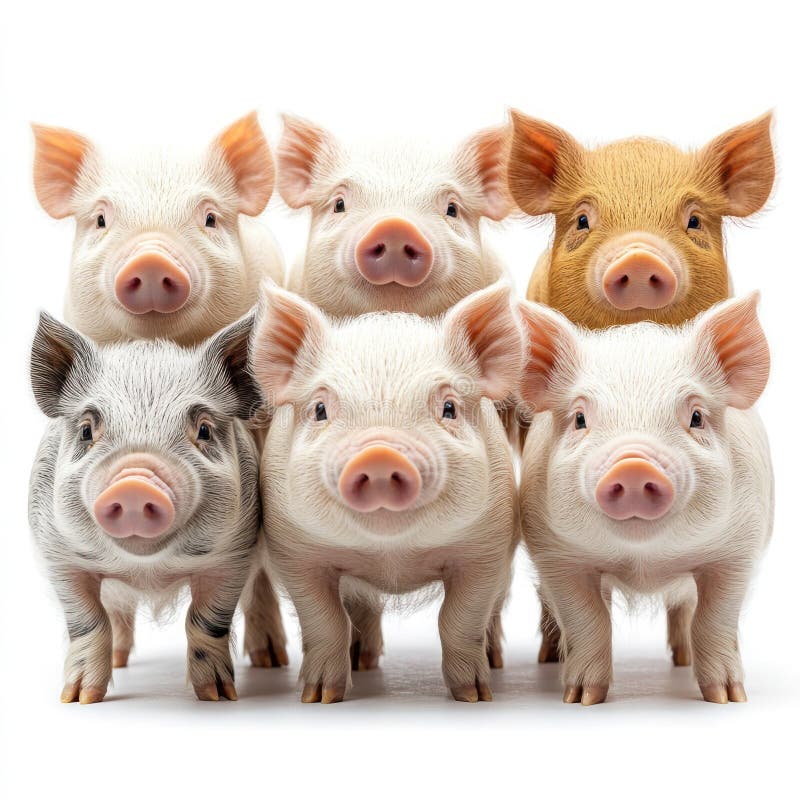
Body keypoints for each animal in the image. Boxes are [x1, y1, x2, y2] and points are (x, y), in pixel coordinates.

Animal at [28, 311, 262, 703]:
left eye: (203, 430)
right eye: (87, 431)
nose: (135, 483)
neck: (146, 572)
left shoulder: (234, 556)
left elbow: (207, 620)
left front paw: (218, 695)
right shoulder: (59, 555)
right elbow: (88, 621)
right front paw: (78, 698)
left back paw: (269, 662)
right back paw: (119, 661)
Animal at [249, 282, 523, 702]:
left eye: (449, 407)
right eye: (320, 409)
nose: (379, 453)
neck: (390, 556)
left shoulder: (486, 549)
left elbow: (460, 619)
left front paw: (474, 696)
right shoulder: (295, 552)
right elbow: (324, 621)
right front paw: (319, 696)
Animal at [517, 293, 772, 704]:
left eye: (696, 416)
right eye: (579, 418)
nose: (633, 466)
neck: (645, 565)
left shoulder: (738, 551)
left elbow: (714, 618)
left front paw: (728, 697)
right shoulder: (557, 555)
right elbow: (587, 619)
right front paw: (581, 698)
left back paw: (682, 659)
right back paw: (550, 660)